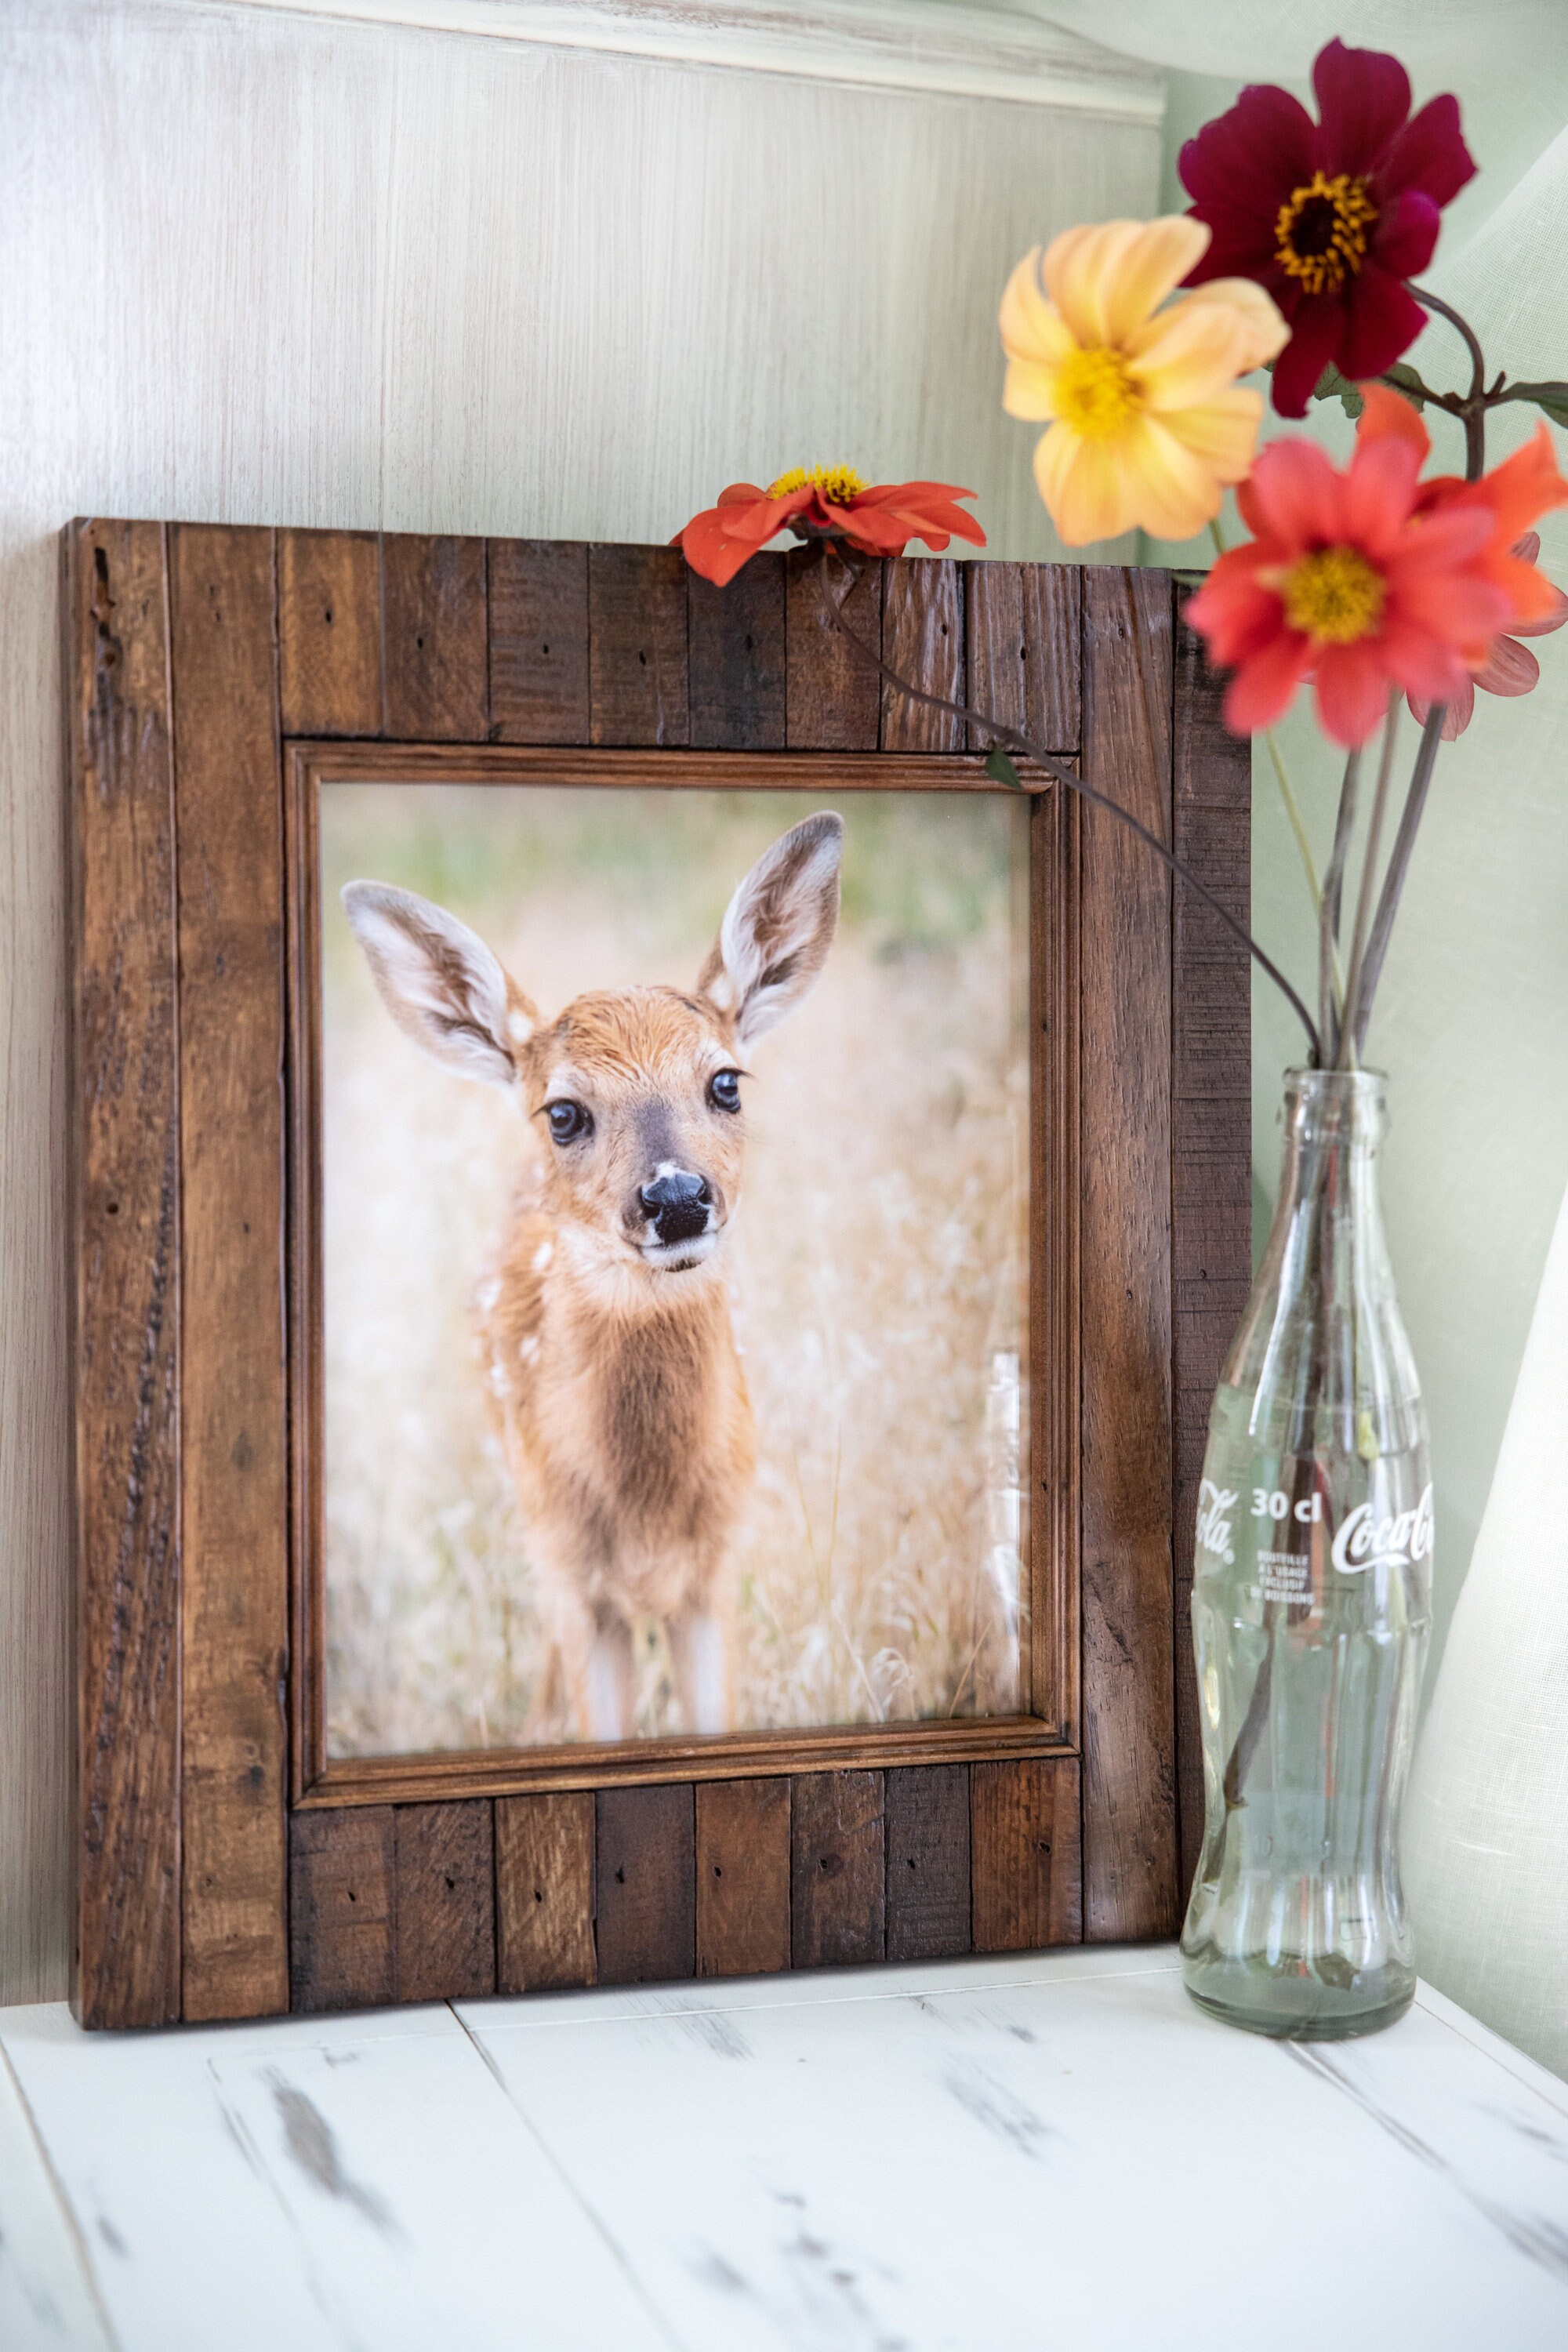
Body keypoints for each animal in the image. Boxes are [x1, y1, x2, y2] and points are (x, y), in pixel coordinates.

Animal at [342, 810, 843, 1745]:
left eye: (726, 1082)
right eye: (565, 1112)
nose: (676, 1197)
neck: (647, 1512)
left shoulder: (716, 1567)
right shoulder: (573, 1575)